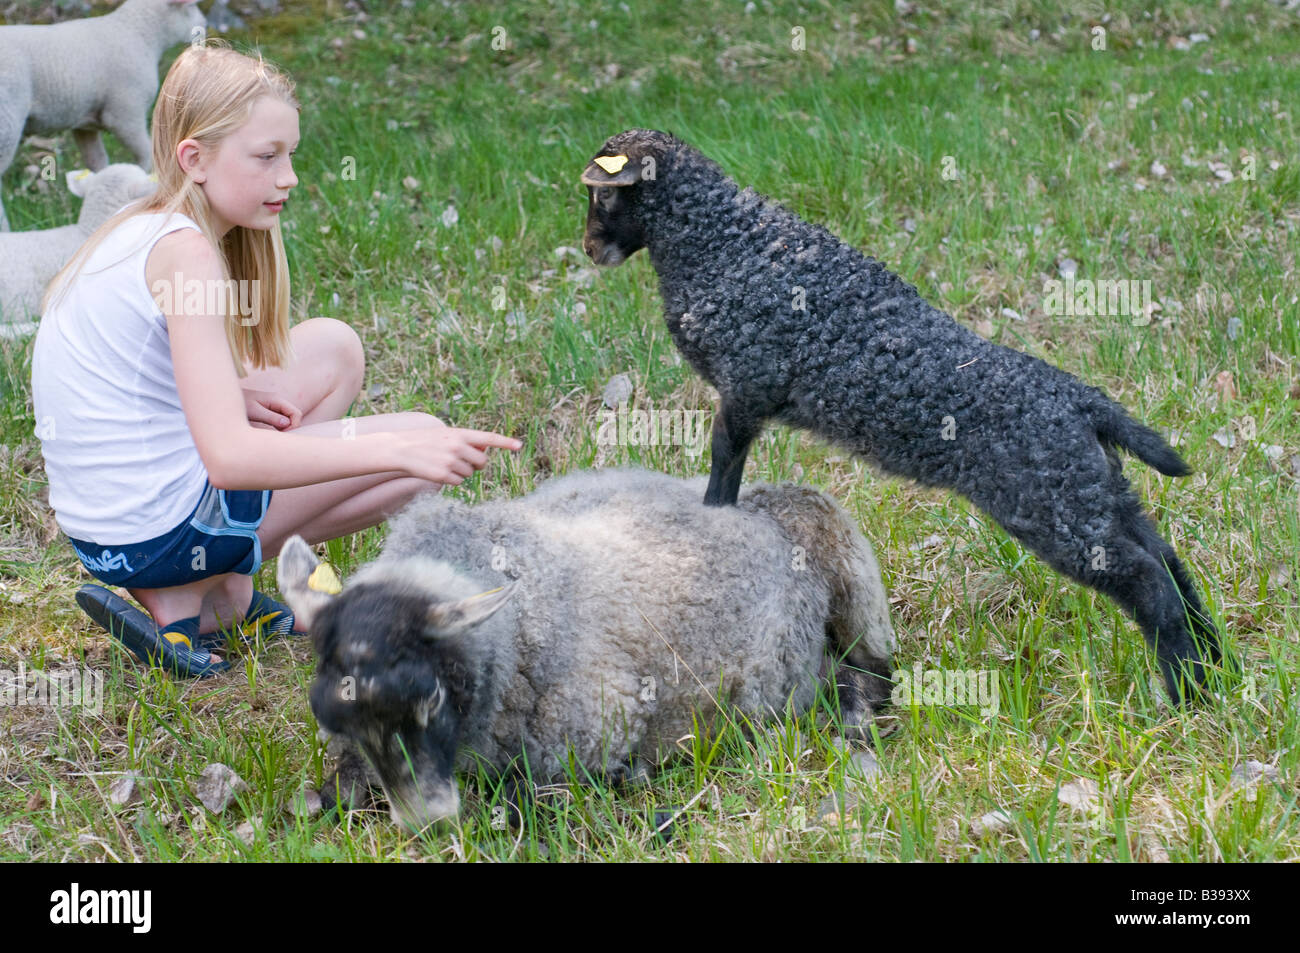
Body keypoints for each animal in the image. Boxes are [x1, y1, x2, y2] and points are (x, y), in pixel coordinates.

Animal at [0, 0, 204, 231]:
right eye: (190, 8)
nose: (204, 25)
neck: (140, 33)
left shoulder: (85, 125)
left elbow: (97, 161)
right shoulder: (126, 113)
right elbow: (145, 156)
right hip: (7, 122)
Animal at [276, 467, 895, 829]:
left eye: (430, 700)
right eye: (334, 722)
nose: (428, 822)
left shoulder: (588, 740)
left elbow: (518, 809)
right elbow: (339, 791)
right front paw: (320, 801)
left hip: (851, 580)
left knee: (872, 673)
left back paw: (854, 718)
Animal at [579, 129, 1224, 706]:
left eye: (601, 196)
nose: (588, 249)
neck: (720, 239)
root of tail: (1080, 399)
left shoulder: (745, 388)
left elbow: (722, 468)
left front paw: (712, 525)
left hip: (1055, 512)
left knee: (1149, 583)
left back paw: (1186, 696)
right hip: (1097, 493)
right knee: (1170, 563)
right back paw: (1218, 671)